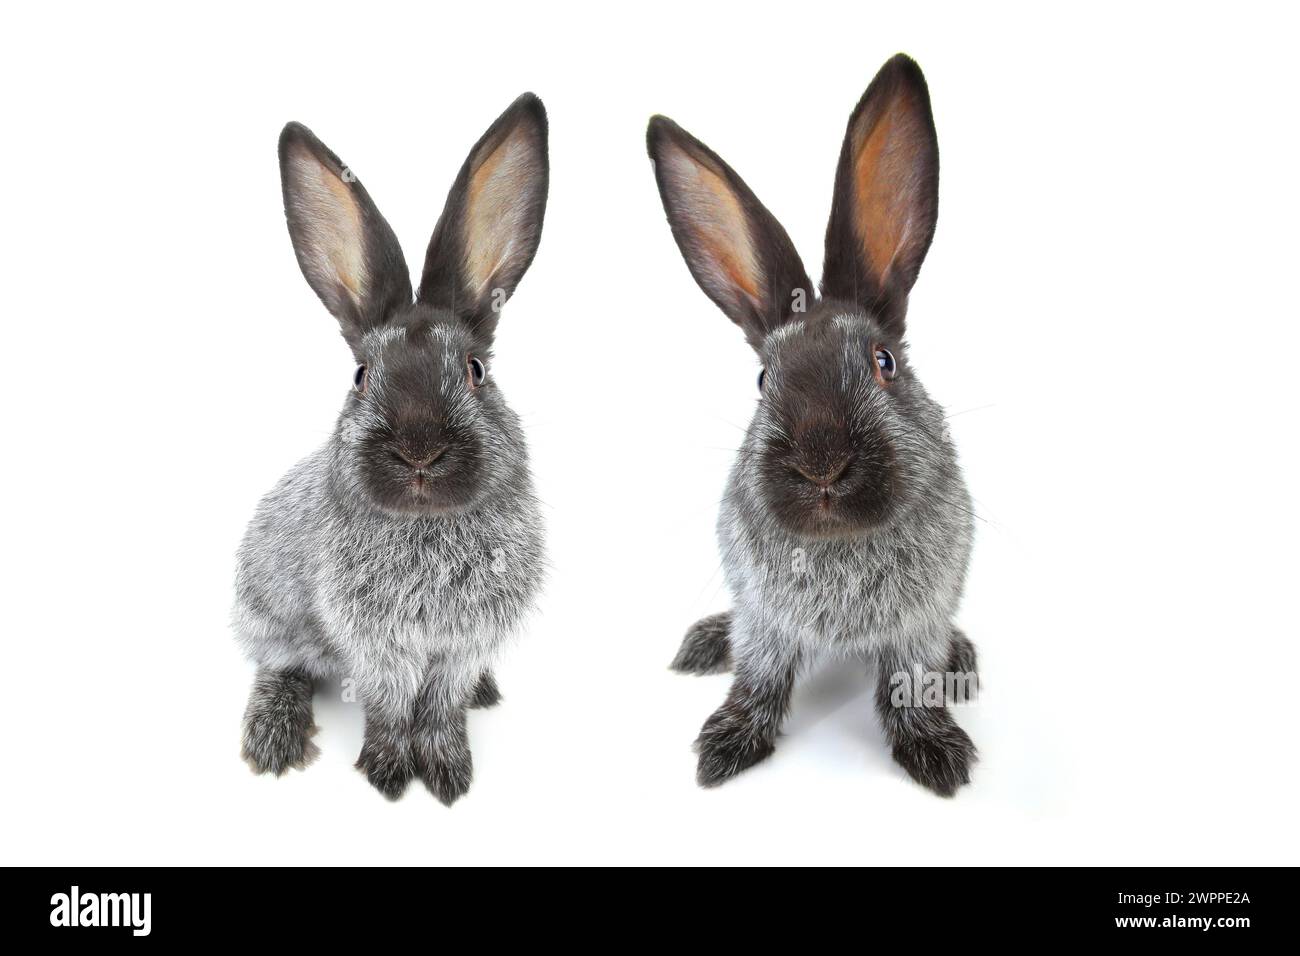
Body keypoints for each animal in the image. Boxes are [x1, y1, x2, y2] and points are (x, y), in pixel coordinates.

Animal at [232, 94, 549, 805]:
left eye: (475, 370)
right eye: (360, 376)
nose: (419, 452)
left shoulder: (461, 647)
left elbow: (440, 708)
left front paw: (449, 770)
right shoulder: (380, 647)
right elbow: (392, 708)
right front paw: (387, 772)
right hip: (268, 609)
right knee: (277, 665)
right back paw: (272, 738)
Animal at [647, 55, 978, 796]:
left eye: (884, 362)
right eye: (764, 381)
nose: (821, 464)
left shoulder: (918, 623)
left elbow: (913, 684)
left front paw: (938, 755)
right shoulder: (765, 622)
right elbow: (758, 682)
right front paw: (725, 746)